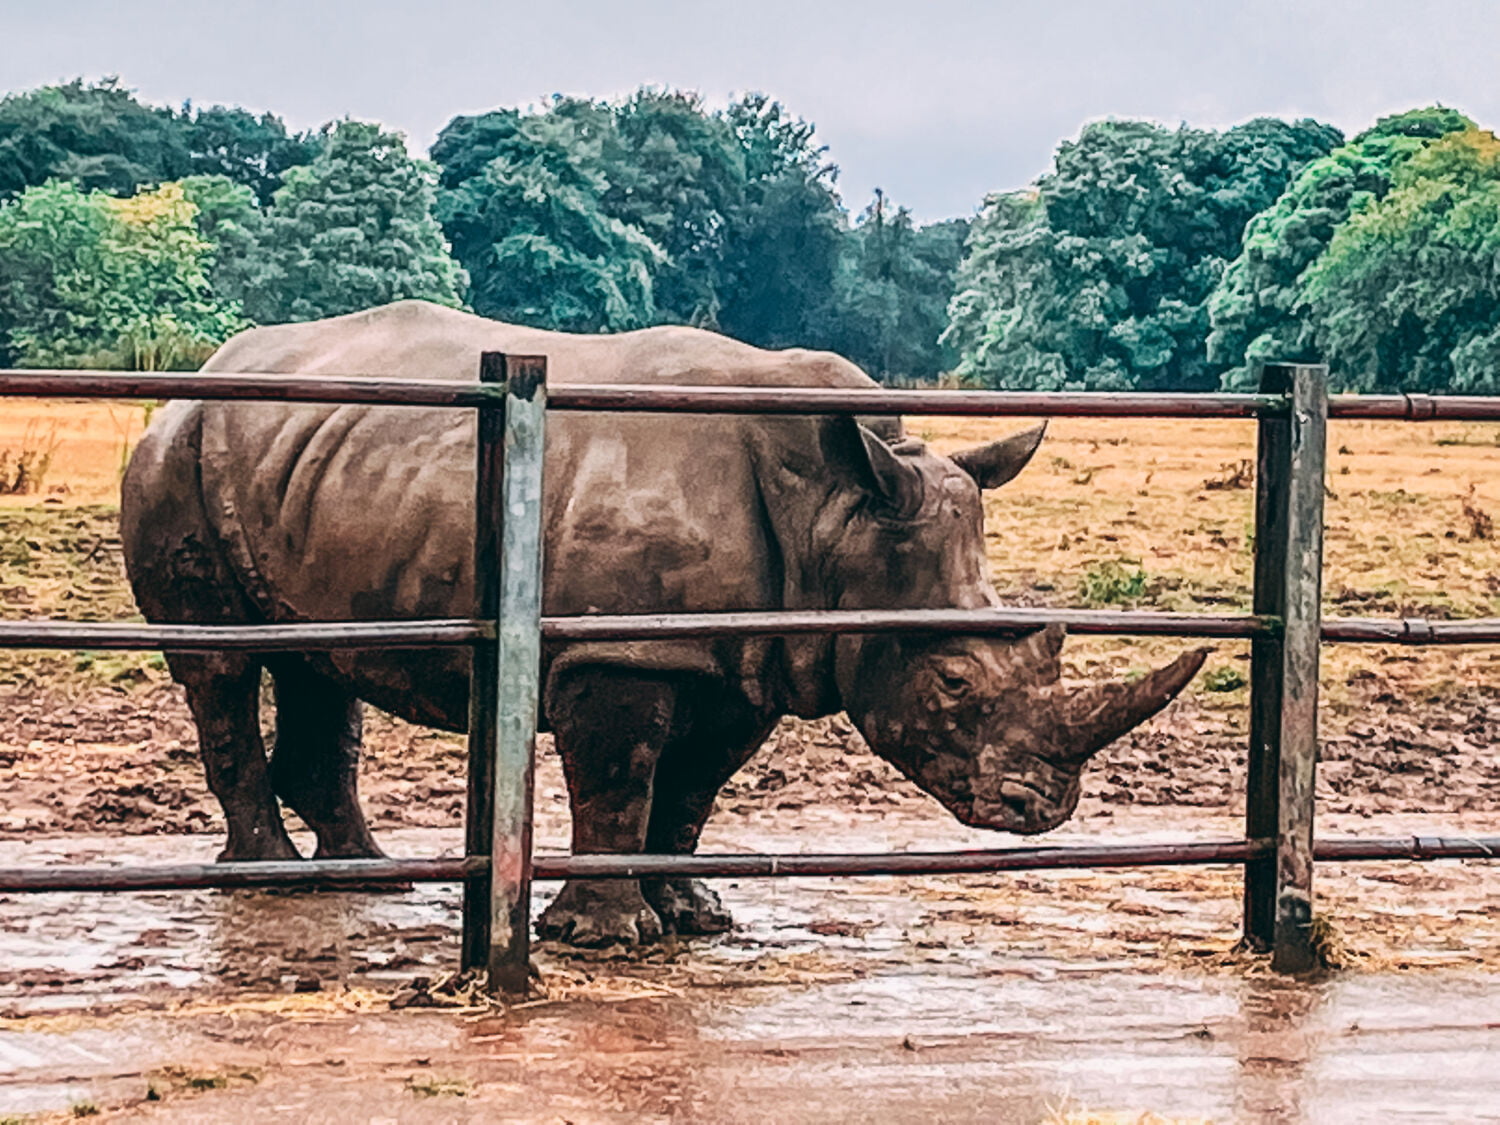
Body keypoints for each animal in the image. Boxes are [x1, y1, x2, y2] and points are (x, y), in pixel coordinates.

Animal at [120, 300, 1205, 946]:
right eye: (953, 682)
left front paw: (694, 914)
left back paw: (367, 881)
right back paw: (272, 880)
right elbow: (621, 775)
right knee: (221, 668)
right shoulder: (623, 646)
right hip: (175, 454)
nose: (1043, 811)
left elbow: (692, 787)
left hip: (304, 461)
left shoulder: (750, 652)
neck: (838, 509)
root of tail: (201, 372)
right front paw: (607, 938)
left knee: (316, 660)